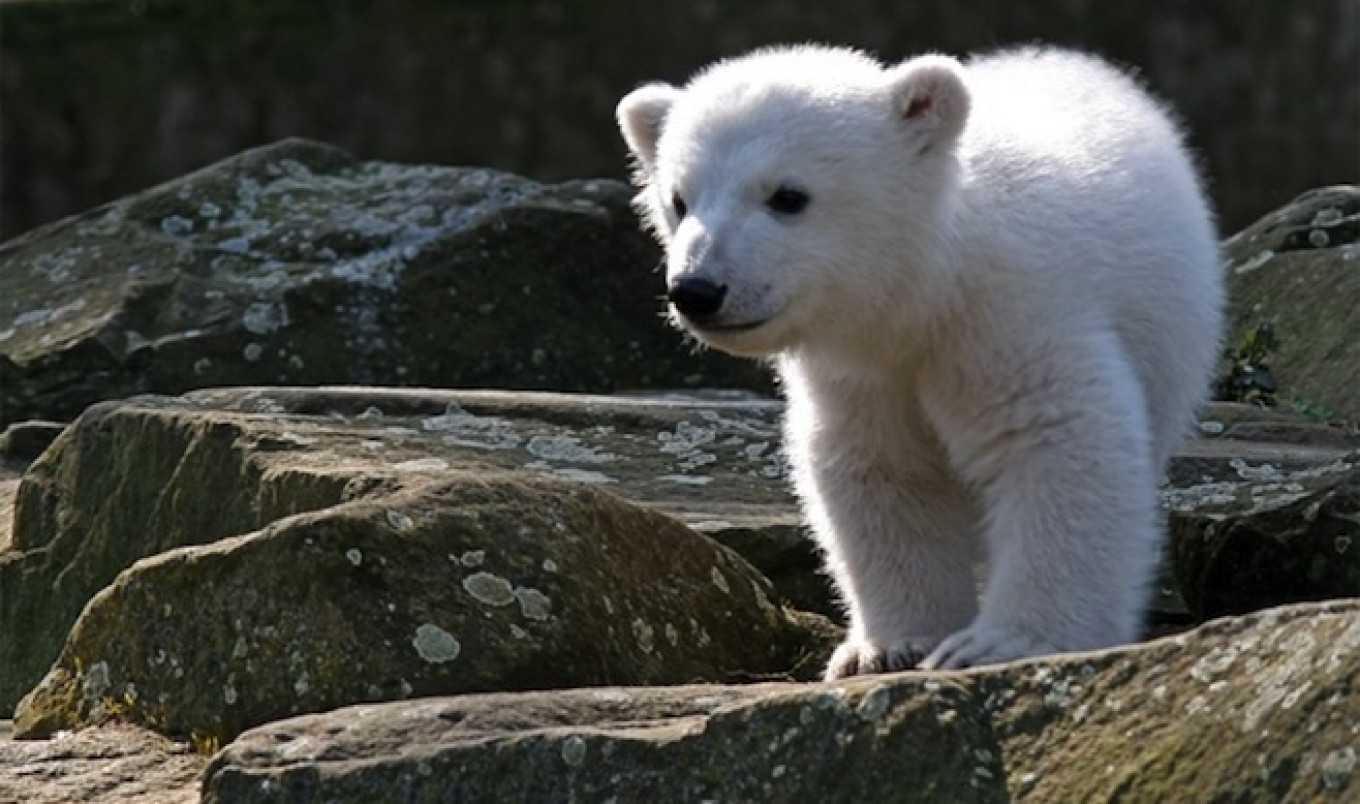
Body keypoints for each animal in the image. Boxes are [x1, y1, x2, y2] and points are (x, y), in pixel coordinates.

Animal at [615, 44, 1223, 677]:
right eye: (679, 201)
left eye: (787, 196)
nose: (697, 289)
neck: (926, 287)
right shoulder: (859, 373)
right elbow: (879, 468)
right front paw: (887, 648)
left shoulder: (1013, 314)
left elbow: (1056, 439)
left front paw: (1003, 642)